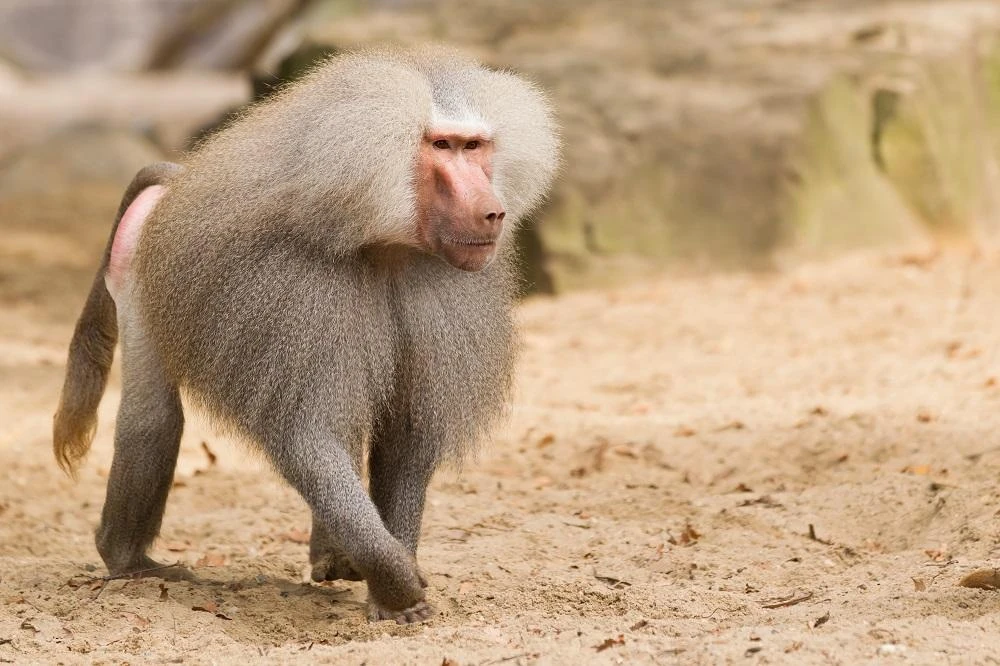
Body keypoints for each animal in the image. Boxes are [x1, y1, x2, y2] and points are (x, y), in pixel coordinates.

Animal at [53, 46, 559, 625]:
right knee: (155, 418)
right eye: (442, 146)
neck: (383, 237)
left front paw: (390, 575)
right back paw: (130, 562)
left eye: (475, 147)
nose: (493, 211)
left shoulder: (439, 286)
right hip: (138, 267)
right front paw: (398, 584)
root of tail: (180, 180)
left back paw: (333, 558)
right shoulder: (295, 289)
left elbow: (407, 436)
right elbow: (307, 435)